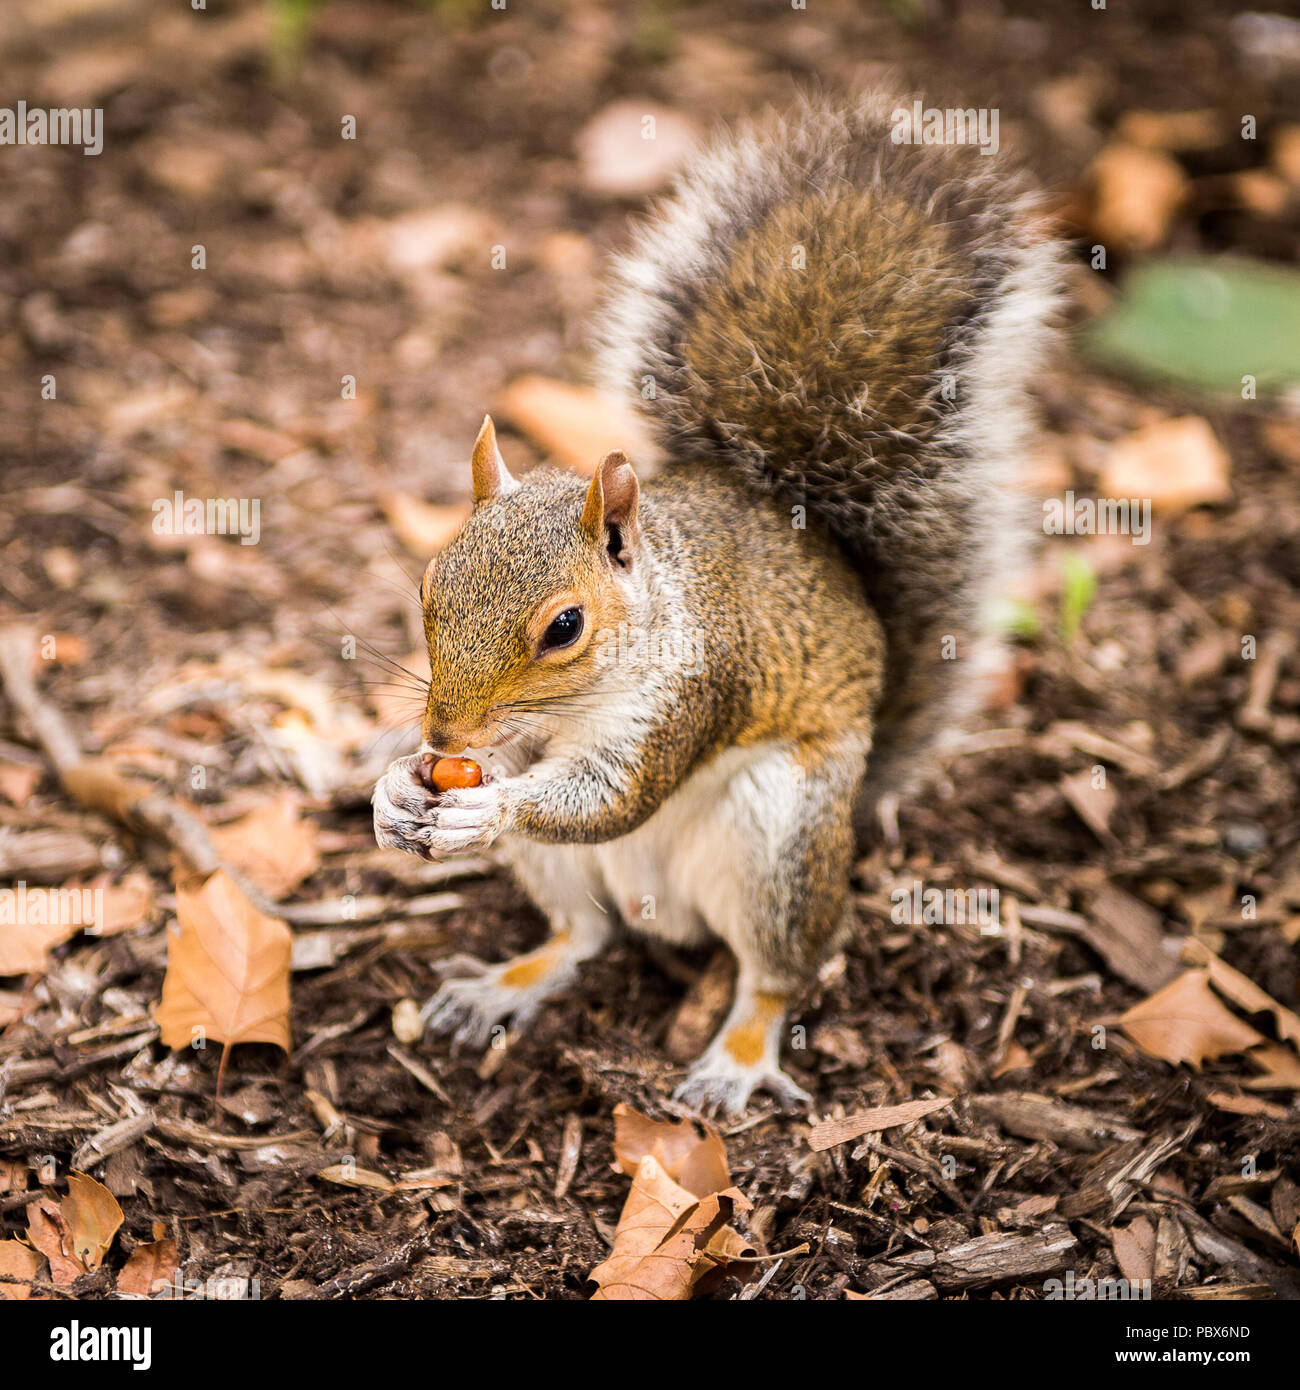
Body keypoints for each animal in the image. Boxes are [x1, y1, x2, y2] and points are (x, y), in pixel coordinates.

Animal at [373, 94, 1061, 1114]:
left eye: (565, 628)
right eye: (429, 585)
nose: (446, 739)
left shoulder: (694, 694)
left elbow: (611, 795)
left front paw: (484, 809)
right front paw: (394, 788)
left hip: (779, 839)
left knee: (775, 972)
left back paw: (732, 1060)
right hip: (575, 878)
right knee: (584, 934)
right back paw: (506, 985)